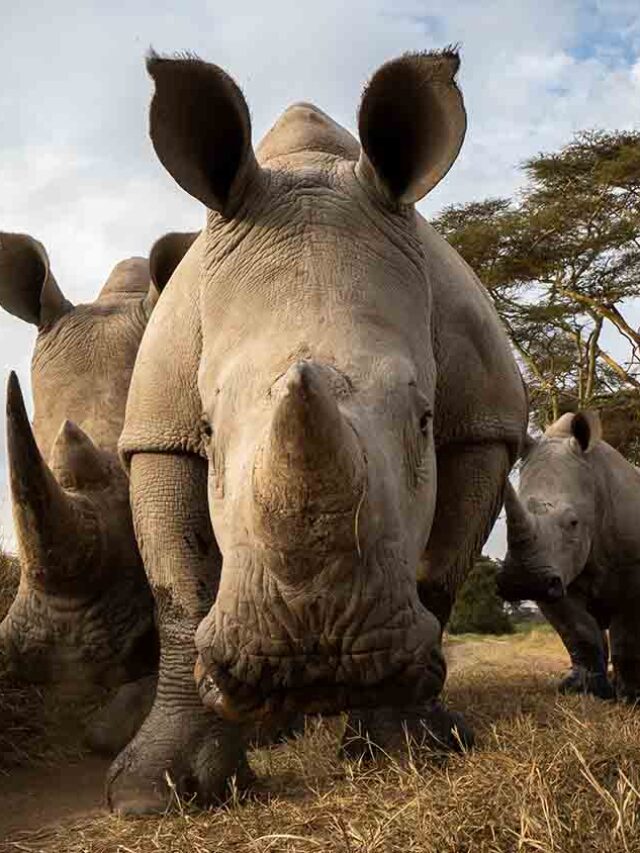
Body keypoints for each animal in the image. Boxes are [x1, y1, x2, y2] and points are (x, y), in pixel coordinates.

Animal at [106, 49, 527, 814]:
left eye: (425, 420)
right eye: (207, 428)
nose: (317, 660)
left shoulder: (485, 421)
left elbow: (440, 572)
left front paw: (412, 752)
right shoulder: (156, 425)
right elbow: (178, 588)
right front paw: (154, 796)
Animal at [498, 410, 640, 701]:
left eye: (573, 523)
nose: (522, 581)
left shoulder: (634, 569)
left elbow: (626, 634)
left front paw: (630, 696)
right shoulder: (555, 576)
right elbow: (579, 630)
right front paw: (583, 691)